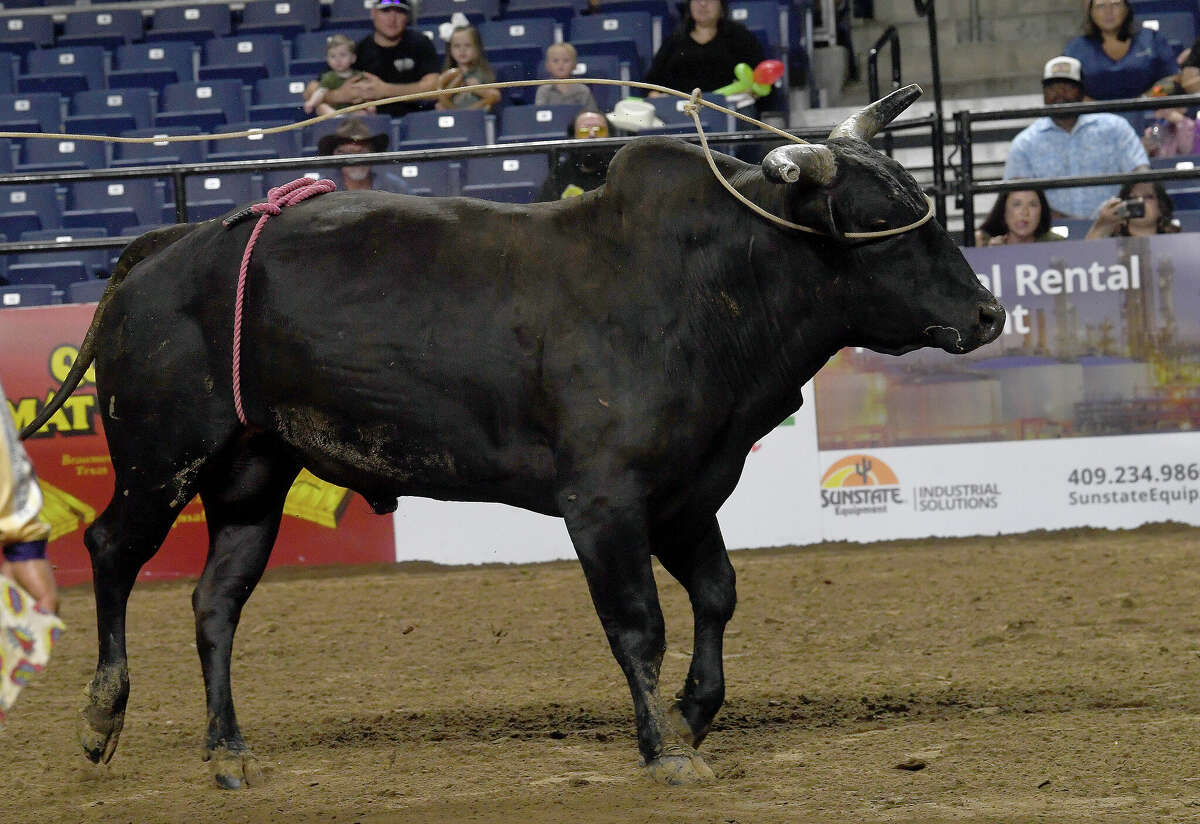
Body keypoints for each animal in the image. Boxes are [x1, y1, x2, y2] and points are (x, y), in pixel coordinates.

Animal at [27, 85, 1003, 789]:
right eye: (883, 223)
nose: (990, 313)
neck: (702, 289)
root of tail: (168, 245)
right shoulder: (602, 504)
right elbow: (638, 623)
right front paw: (666, 748)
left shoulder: (688, 494)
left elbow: (717, 596)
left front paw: (690, 714)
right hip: (161, 457)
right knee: (111, 550)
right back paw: (102, 714)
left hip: (252, 477)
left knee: (214, 603)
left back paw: (228, 749)